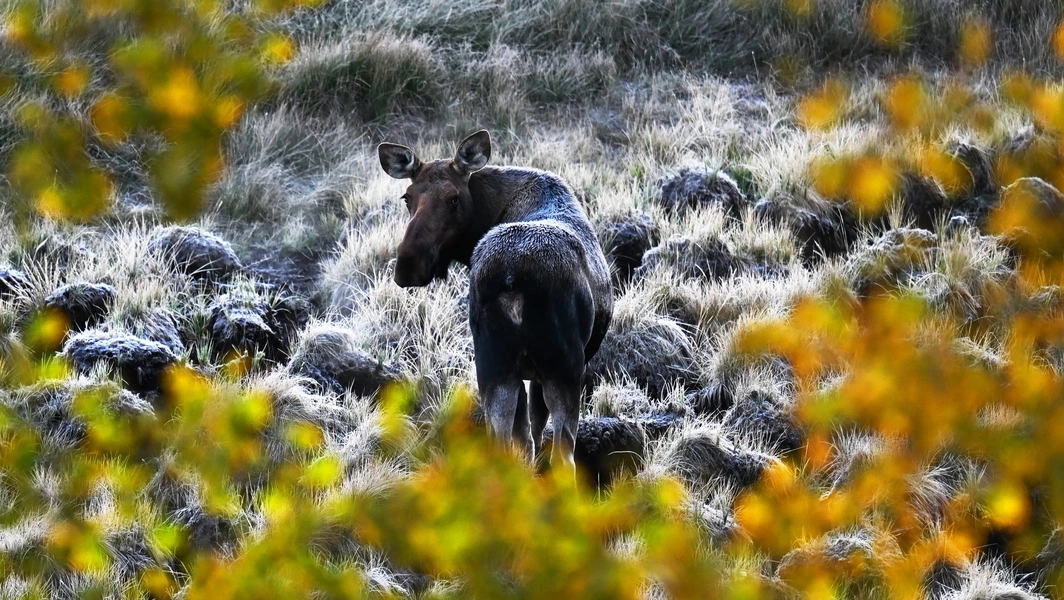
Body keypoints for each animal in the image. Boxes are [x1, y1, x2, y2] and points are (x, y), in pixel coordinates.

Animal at [378, 130, 613, 470]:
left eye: (454, 198)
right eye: (408, 197)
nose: (409, 265)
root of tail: (511, 281)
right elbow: (535, 432)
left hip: (493, 367)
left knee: (502, 444)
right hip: (562, 367)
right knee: (562, 455)